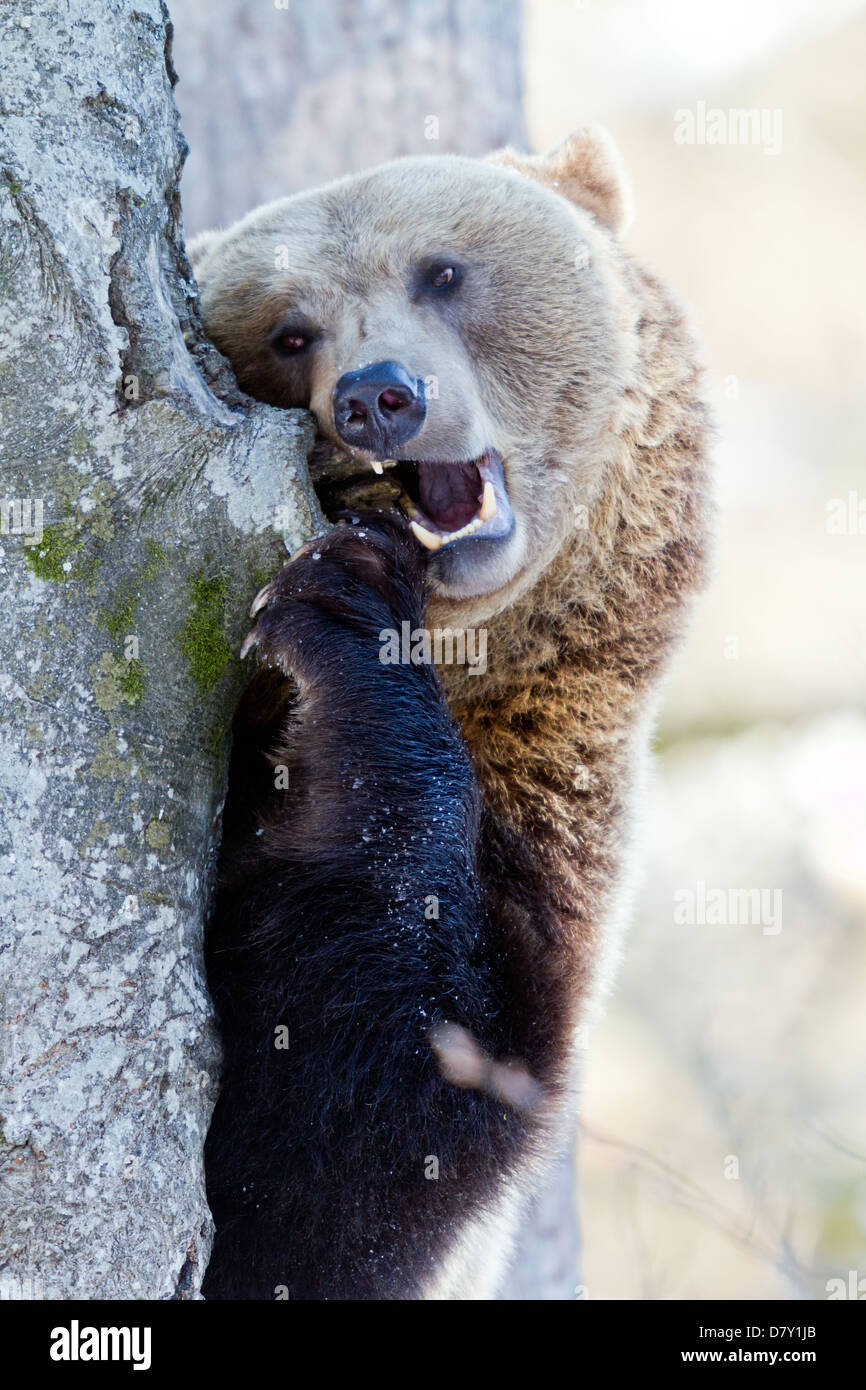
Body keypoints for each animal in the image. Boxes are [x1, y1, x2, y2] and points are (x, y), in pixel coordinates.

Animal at [189, 127, 712, 1300]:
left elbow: (385, 1126)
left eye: (441, 271)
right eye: (289, 330)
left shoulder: (545, 801)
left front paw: (342, 603)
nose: (378, 395)